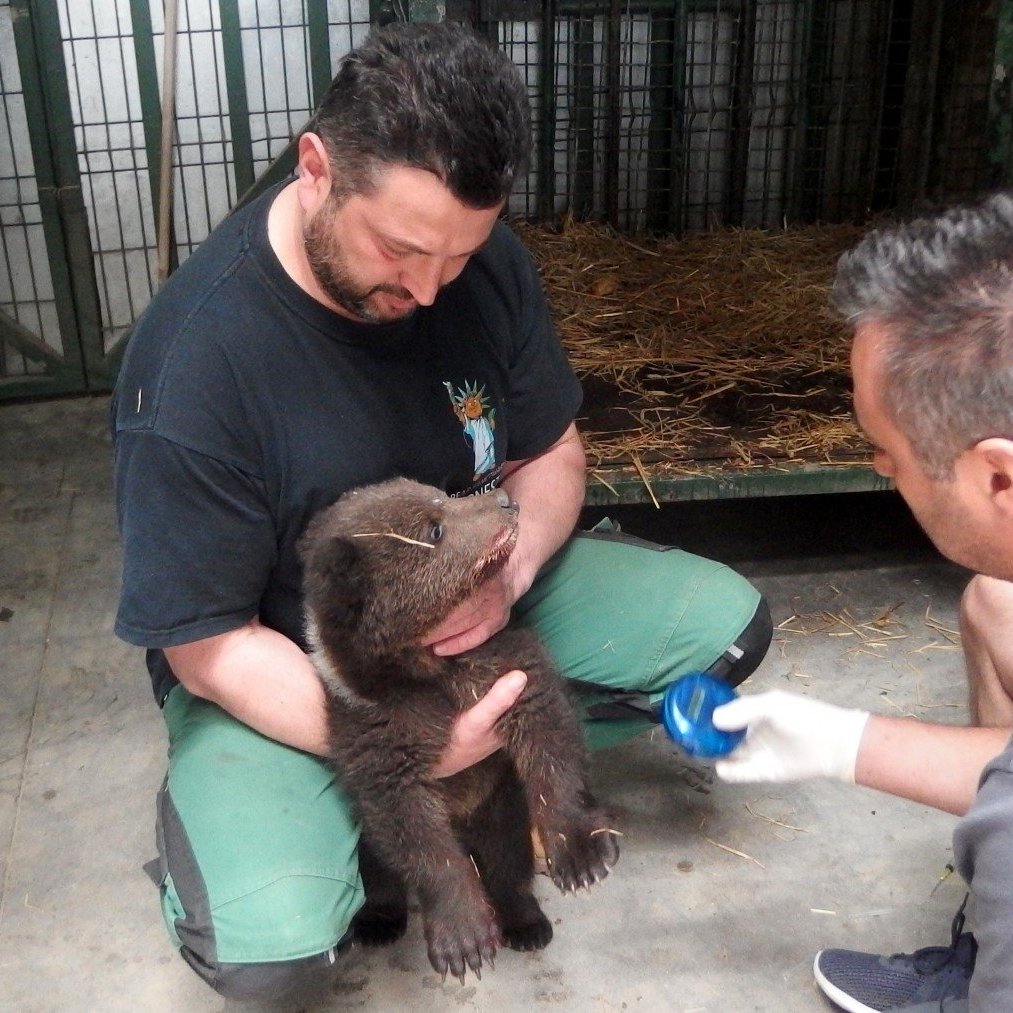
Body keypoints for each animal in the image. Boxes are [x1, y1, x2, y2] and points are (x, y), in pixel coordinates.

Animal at [298, 477, 620, 983]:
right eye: (434, 530)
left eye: (442, 495)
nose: (505, 500)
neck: (427, 665)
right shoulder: (376, 735)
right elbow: (418, 838)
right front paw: (463, 936)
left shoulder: (506, 667)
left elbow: (552, 750)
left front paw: (582, 855)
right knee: (380, 868)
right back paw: (379, 920)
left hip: (498, 804)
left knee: (507, 860)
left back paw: (525, 921)